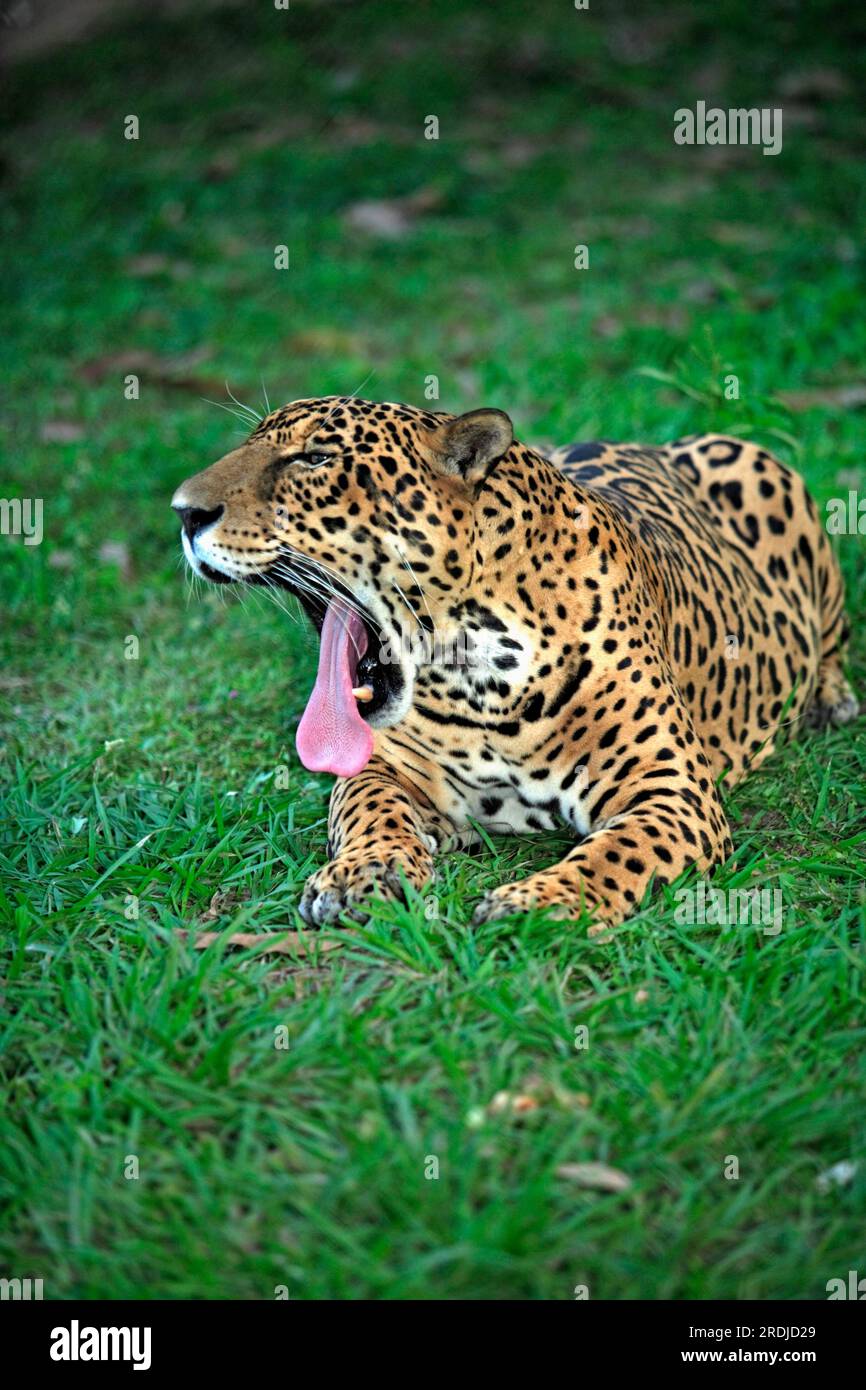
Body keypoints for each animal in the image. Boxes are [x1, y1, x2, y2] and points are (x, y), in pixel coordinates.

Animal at [172, 396, 858, 930]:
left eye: (315, 459)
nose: (184, 512)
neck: (474, 676)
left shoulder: (673, 790)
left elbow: (619, 851)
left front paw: (540, 903)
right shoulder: (381, 766)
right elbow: (370, 810)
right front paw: (361, 874)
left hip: (769, 479)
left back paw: (831, 699)